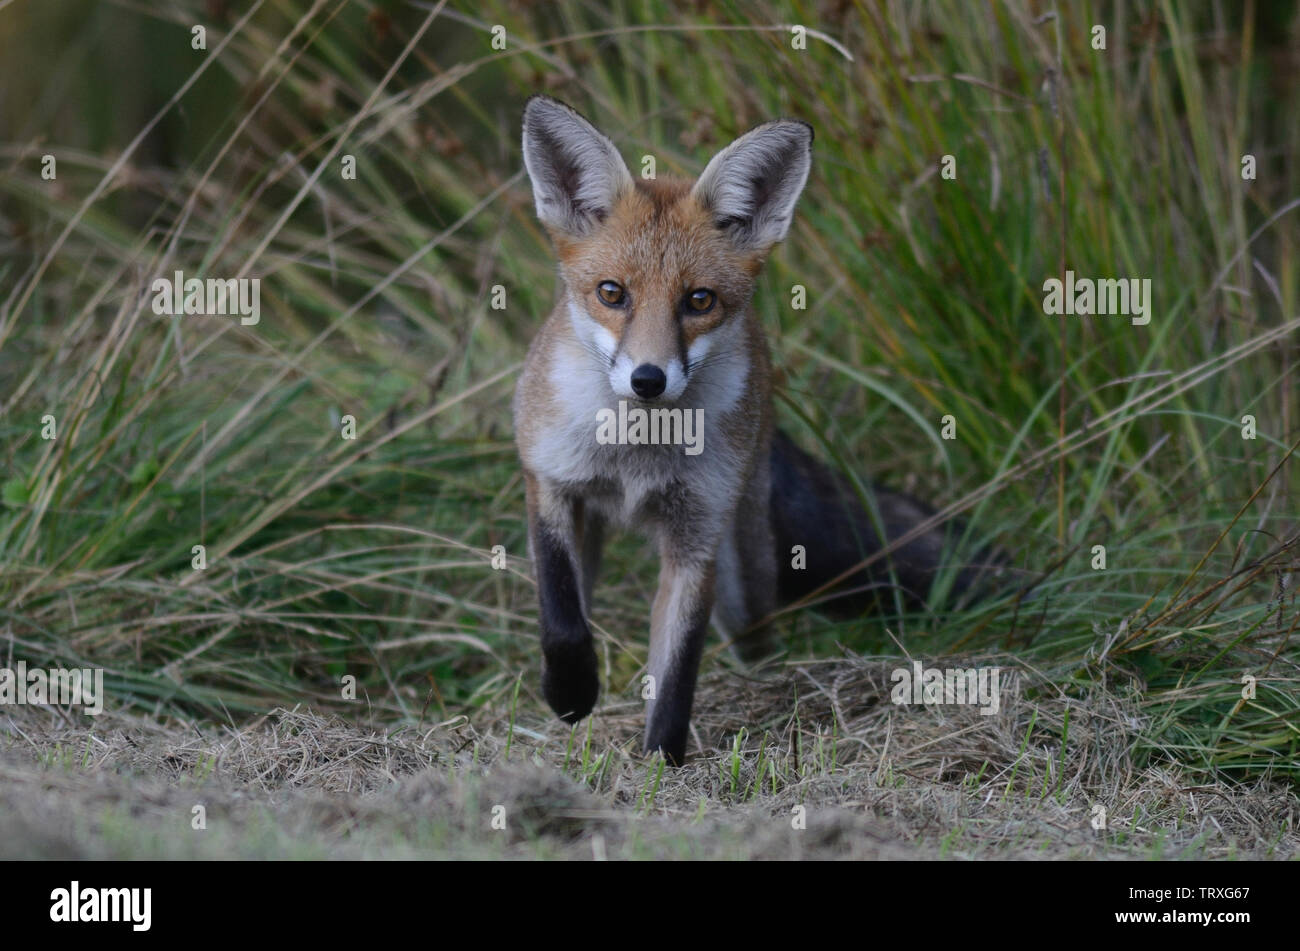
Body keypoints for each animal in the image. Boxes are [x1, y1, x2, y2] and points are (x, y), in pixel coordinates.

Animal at [515, 96, 998, 765]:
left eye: (699, 300)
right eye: (612, 293)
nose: (647, 379)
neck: (637, 452)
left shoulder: (698, 535)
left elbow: (676, 675)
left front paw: (662, 765)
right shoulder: (551, 480)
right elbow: (561, 617)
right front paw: (569, 690)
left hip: (744, 590)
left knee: (755, 642)